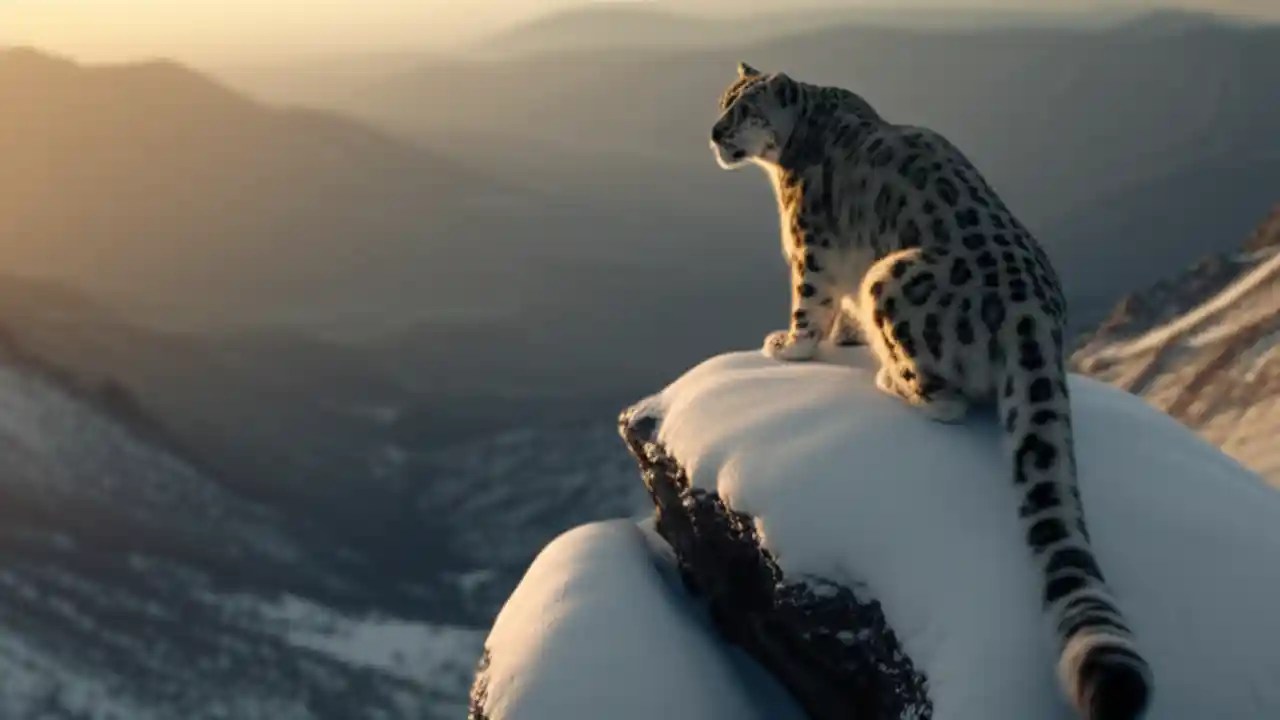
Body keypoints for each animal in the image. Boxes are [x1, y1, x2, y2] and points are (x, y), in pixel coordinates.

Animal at [710, 62, 1152, 720]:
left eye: (745, 110)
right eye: (723, 101)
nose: (714, 132)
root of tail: (1036, 316)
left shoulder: (812, 249)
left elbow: (809, 304)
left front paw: (789, 345)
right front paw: (838, 339)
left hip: (889, 278)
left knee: (945, 401)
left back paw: (890, 378)